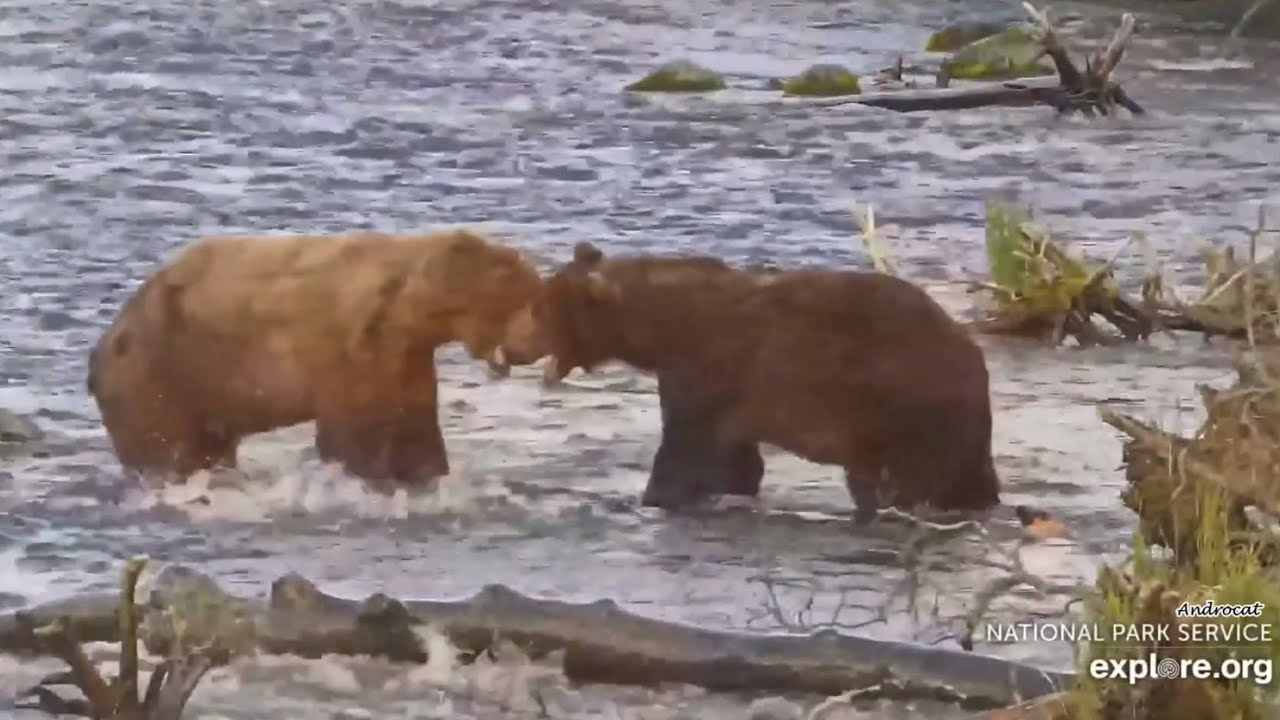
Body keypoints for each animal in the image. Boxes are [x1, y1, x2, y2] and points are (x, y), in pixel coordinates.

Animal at [87, 228, 544, 489]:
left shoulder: (405, 358)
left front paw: (423, 474)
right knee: (168, 445)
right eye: (526, 301)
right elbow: (357, 435)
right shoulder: (348, 348)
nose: (534, 347)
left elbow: (414, 428)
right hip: (162, 372)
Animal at [495, 242, 1002, 521]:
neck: (660, 329)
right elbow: (734, 465)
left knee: (899, 480)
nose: (507, 345)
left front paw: (652, 497)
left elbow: (685, 457)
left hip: (898, 408)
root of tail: (976, 359)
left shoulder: (709, 374)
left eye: (537, 308)